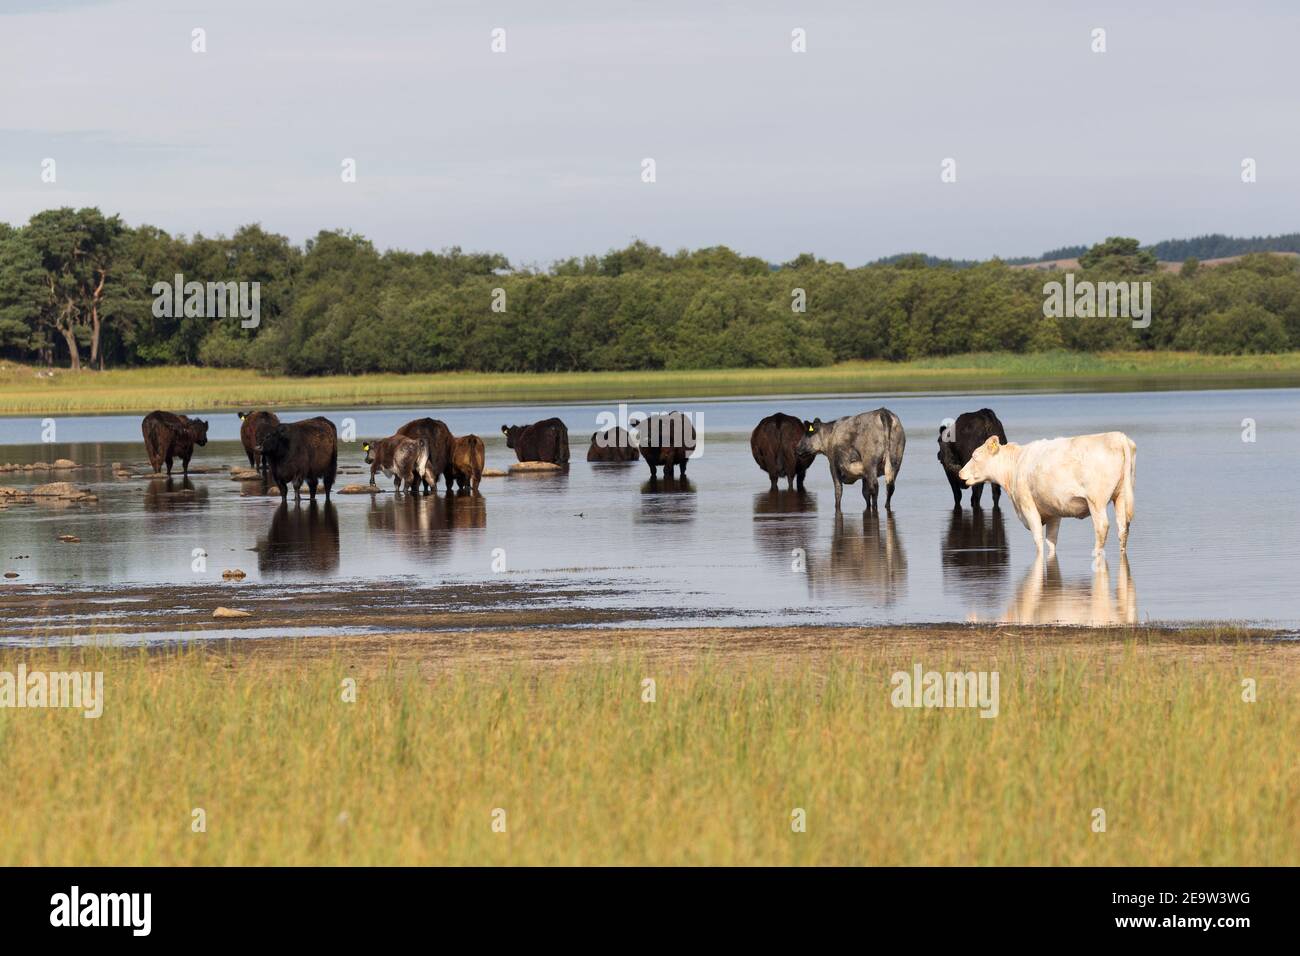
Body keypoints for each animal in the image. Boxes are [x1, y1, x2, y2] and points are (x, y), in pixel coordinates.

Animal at [957, 432, 1136, 557]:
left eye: (975, 456)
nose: (960, 473)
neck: (1015, 465)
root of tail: (1117, 436)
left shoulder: (1027, 504)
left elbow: (1038, 538)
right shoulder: (1053, 511)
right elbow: (1051, 540)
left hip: (1096, 501)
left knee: (1102, 526)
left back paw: (1096, 553)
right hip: (1120, 496)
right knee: (1123, 527)